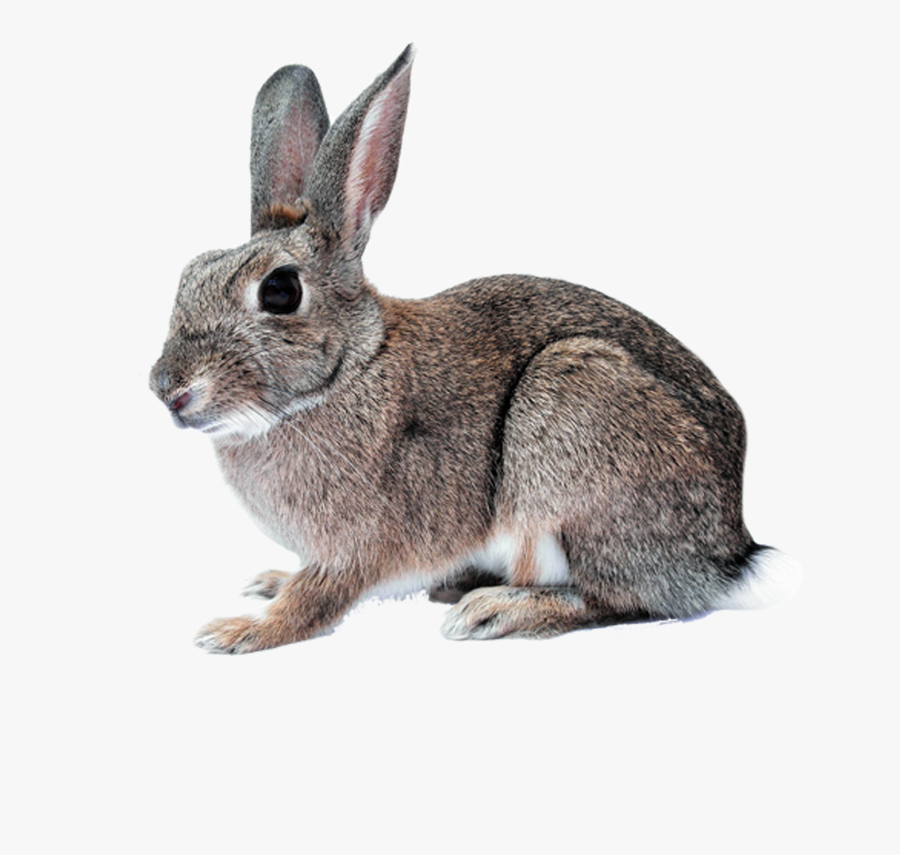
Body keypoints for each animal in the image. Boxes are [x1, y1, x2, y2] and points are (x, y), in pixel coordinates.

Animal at [150, 45, 802, 653]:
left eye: (280, 291)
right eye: (189, 273)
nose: (166, 390)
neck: (347, 372)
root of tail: (729, 556)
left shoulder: (361, 543)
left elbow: (318, 598)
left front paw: (240, 631)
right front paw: (269, 584)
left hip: (572, 418)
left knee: (620, 599)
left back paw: (498, 610)